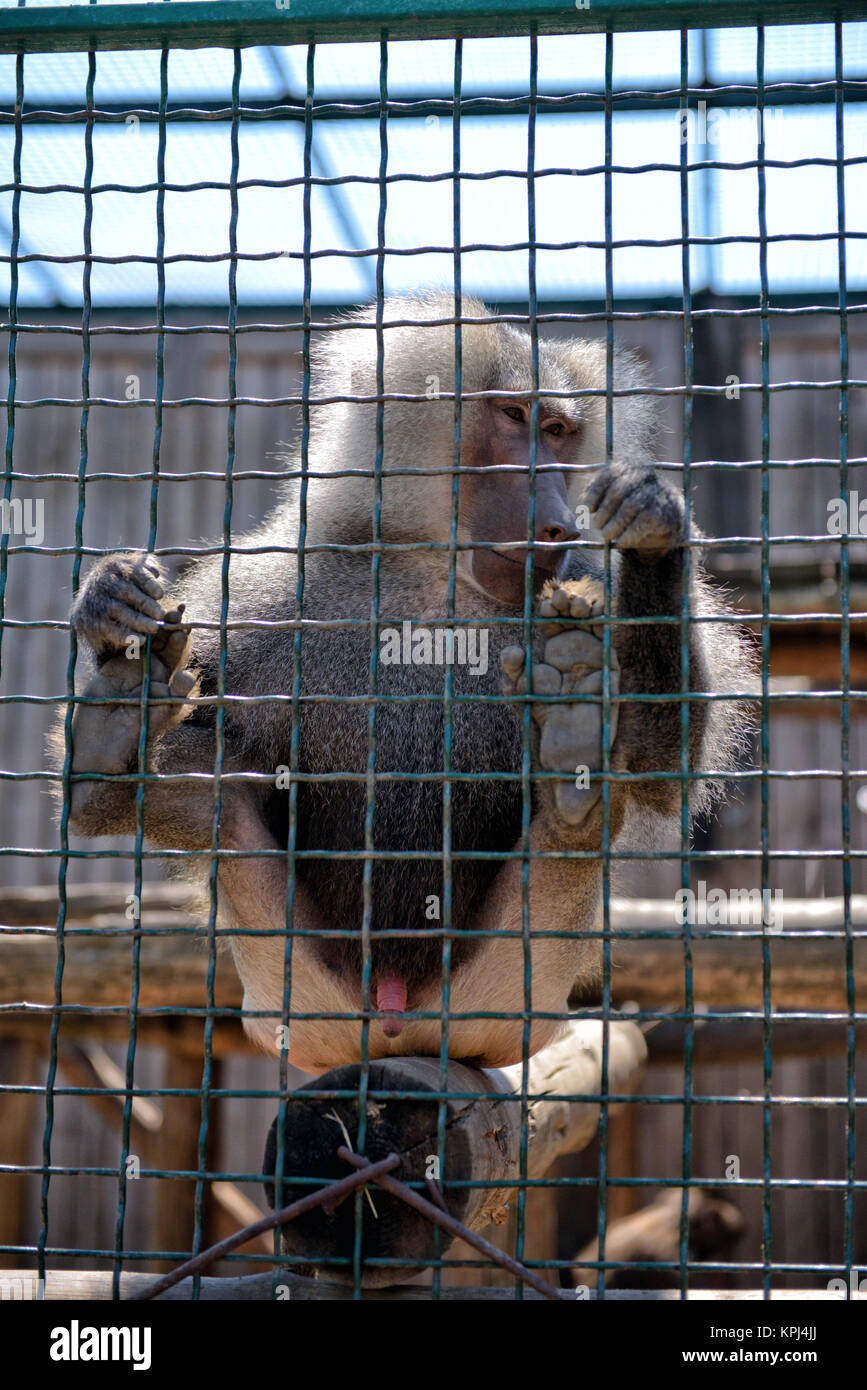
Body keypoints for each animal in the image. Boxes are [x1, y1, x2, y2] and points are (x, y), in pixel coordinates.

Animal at [52, 291, 752, 1075]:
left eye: (559, 431)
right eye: (513, 417)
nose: (553, 520)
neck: (436, 573)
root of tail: (395, 1021)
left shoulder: (584, 581)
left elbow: (657, 771)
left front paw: (651, 527)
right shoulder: (265, 590)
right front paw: (108, 605)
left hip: (511, 1000)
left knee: (589, 811)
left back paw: (574, 754)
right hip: (290, 988)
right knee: (217, 793)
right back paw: (111, 744)